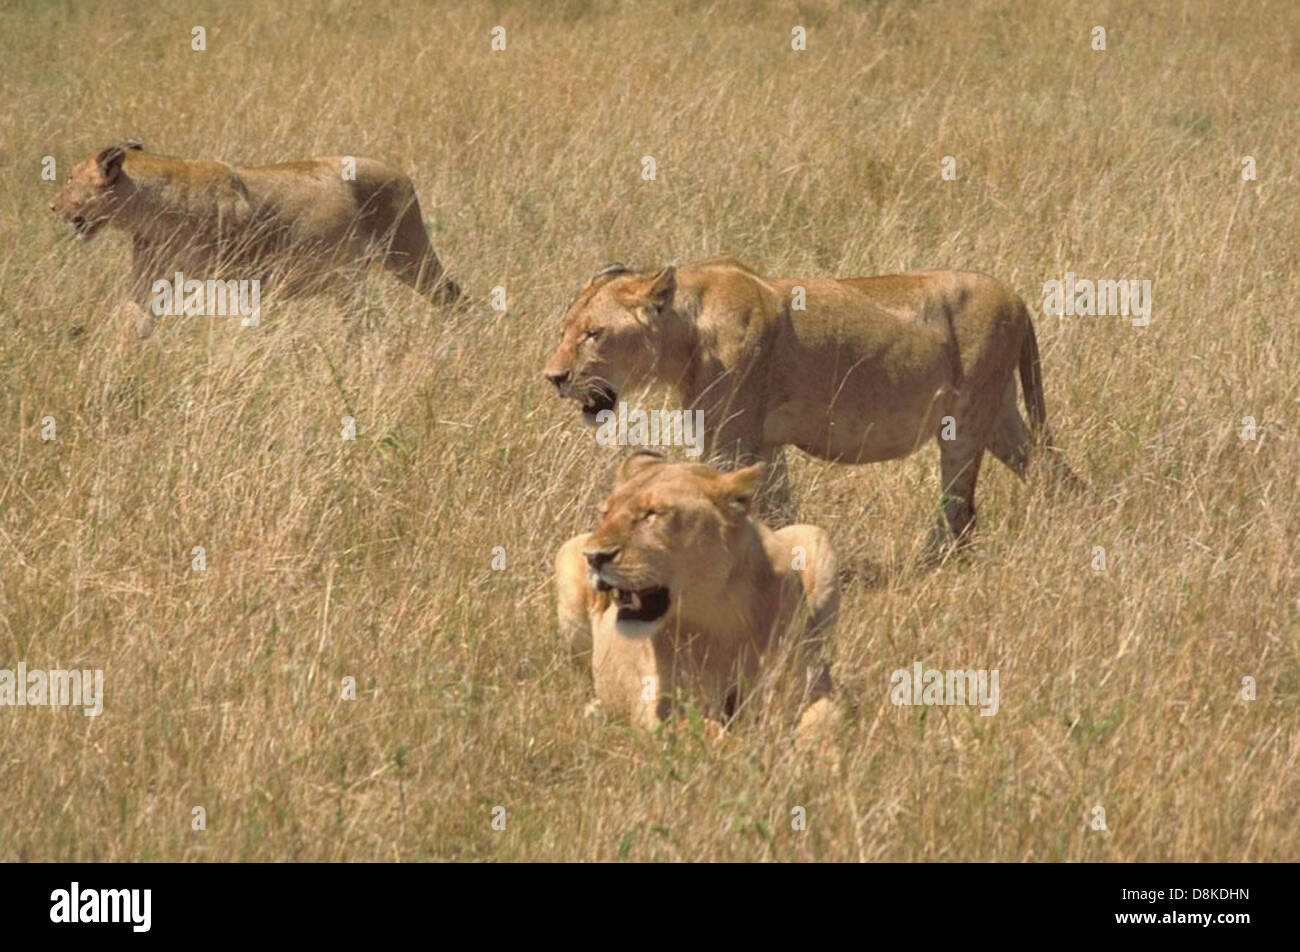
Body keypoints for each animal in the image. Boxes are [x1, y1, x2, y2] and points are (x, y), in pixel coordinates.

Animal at [48, 140, 460, 334]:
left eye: (69, 179)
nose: (52, 207)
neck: (150, 207)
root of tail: (402, 174)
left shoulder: (234, 277)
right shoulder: (150, 273)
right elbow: (134, 319)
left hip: (408, 252)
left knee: (451, 294)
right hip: (352, 281)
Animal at [544, 256, 1080, 545]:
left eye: (594, 333)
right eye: (565, 330)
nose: (554, 377)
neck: (686, 330)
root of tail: (1016, 299)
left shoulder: (728, 440)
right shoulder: (764, 445)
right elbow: (780, 510)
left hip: (967, 421)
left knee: (959, 507)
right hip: (1000, 416)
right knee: (1053, 471)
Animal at [555, 451, 839, 743]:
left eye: (652, 514)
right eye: (606, 513)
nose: (593, 557)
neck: (720, 615)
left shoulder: (809, 688)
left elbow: (828, 721)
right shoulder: (655, 712)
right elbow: (709, 733)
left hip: (814, 537)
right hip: (566, 557)